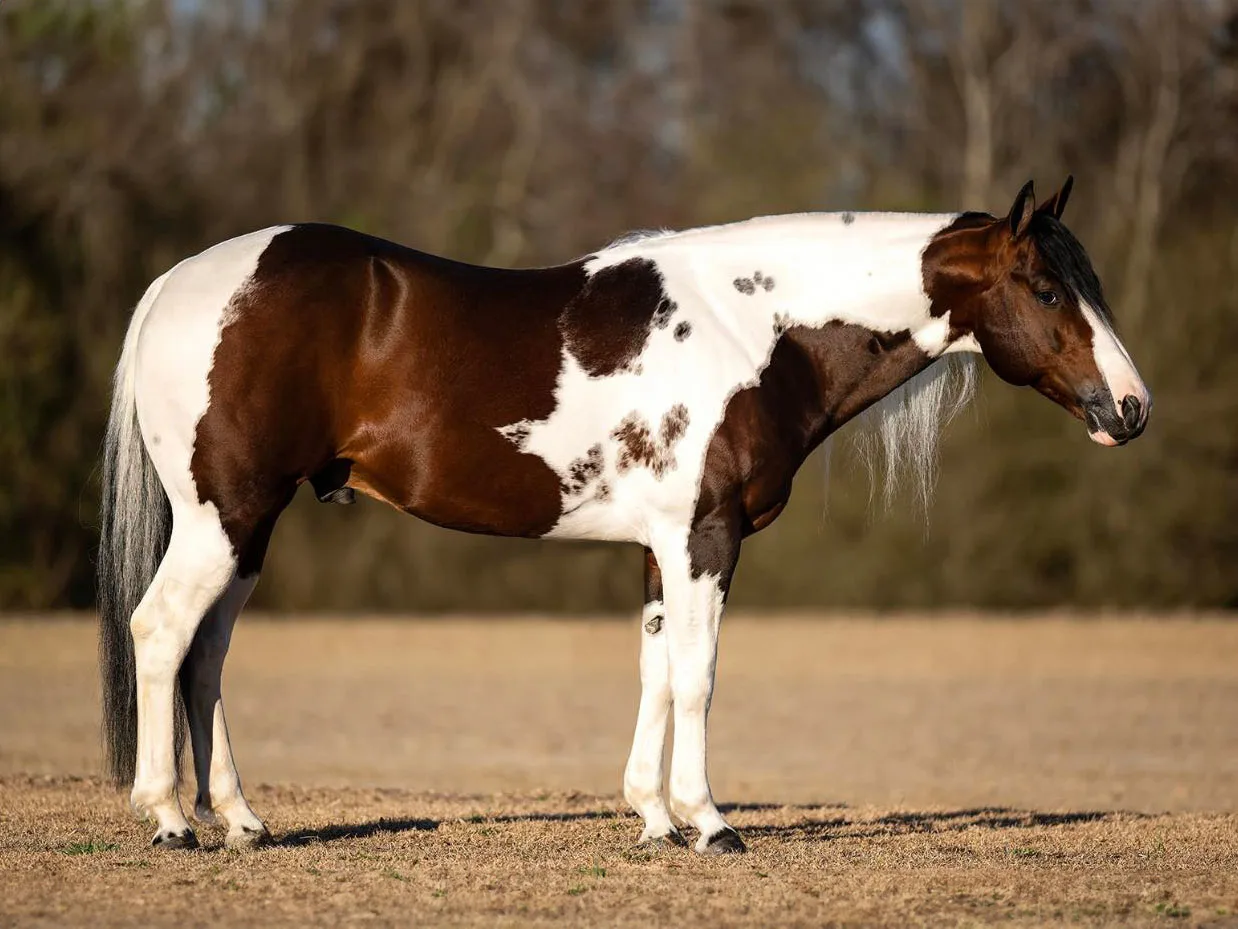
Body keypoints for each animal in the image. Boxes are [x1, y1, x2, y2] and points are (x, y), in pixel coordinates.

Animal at [97, 178, 1150, 853]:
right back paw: (169, 820)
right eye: (1047, 288)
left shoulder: (660, 547)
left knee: (206, 655)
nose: (1132, 410)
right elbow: (699, 677)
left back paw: (238, 819)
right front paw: (709, 822)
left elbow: (655, 671)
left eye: (1091, 283)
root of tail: (177, 282)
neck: (755, 330)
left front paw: (651, 816)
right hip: (223, 516)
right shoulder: (704, 537)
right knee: (162, 632)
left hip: (247, 527)